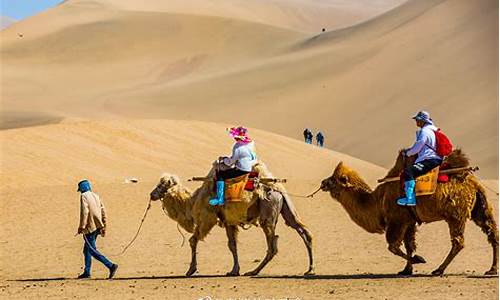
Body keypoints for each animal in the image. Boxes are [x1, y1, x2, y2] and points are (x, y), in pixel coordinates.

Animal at [148, 162, 314, 276]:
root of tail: (277, 190)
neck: (192, 201)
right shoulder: (228, 221)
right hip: (286, 208)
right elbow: (232, 245)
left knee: (273, 244)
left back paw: (254, 271)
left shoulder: (207, 218)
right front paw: (234, 270)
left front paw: (191, 270)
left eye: (161, 185)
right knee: (302, 231)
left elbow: (193, 240)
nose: (151, 194)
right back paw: (310, 269)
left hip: (268, 211)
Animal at [320, 150, 496, 276]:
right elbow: (409, 245)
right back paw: (492, 269)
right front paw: (406, 269)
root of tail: (474, 183)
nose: (323, 182)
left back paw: (438, 270)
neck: (377, 201)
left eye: (335, 179)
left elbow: (393, 247)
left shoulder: (396, 220)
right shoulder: (409, 221)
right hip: (479, 209)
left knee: (458, 242)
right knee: (492, 233)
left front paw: (419, 259)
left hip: (455, 215)